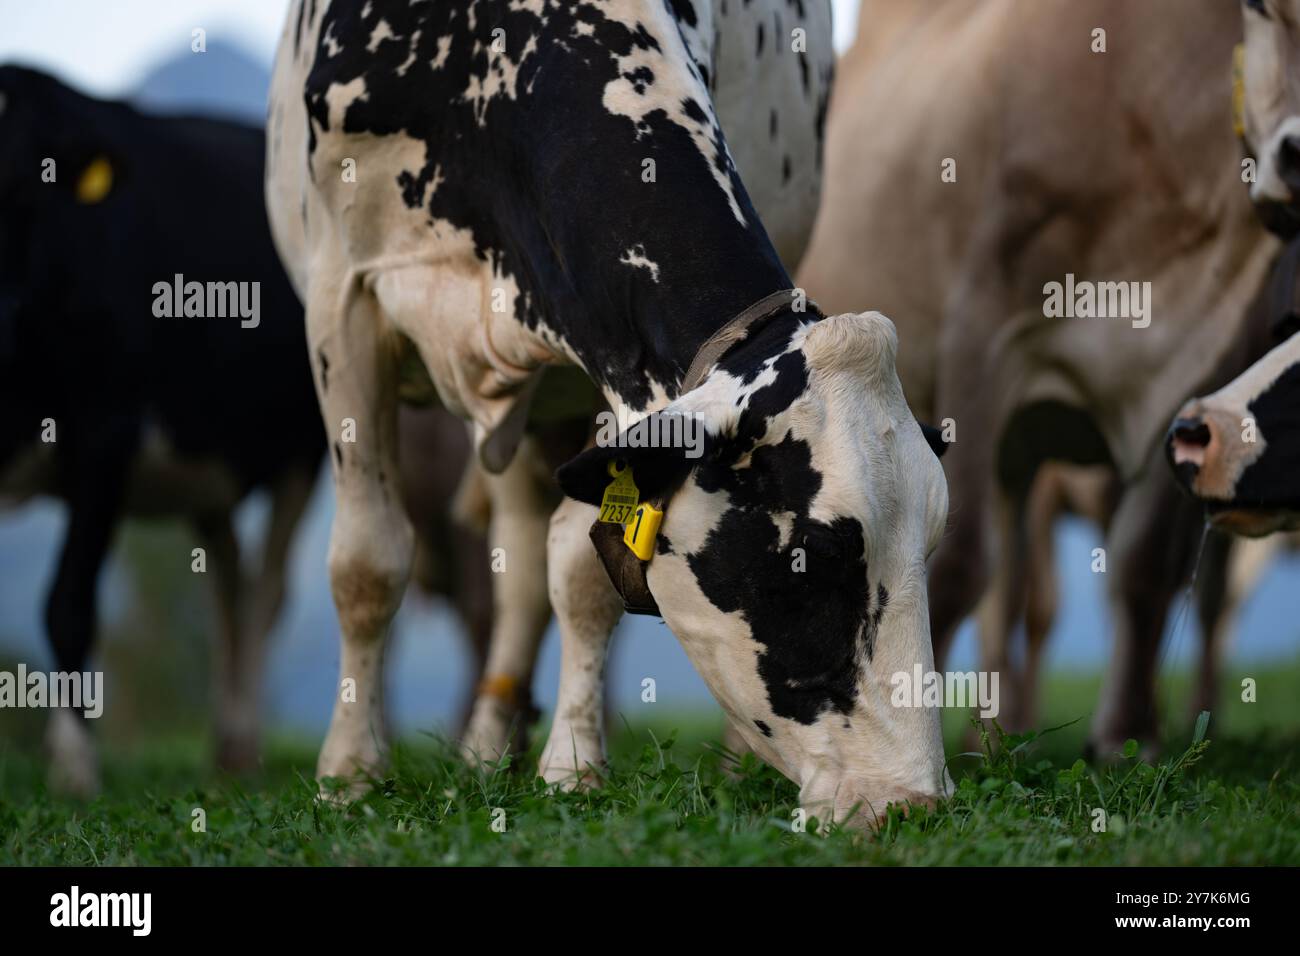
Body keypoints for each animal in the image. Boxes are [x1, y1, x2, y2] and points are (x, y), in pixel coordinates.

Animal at [267, 0, 952, 826]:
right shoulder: (343, 298)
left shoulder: (606, 358)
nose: (912, 802)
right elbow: (366, 564)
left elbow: (579, 568)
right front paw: (349, 774)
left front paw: (571, 766)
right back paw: (482, 748)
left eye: (928, 545)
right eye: (810, 558)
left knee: (525, 564)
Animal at [797, 0, 1279, 754]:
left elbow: (1146, 567)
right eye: (1263, 11)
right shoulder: (983, 336)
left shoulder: (1192, 376)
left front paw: (1125, 738)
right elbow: (960, 567)